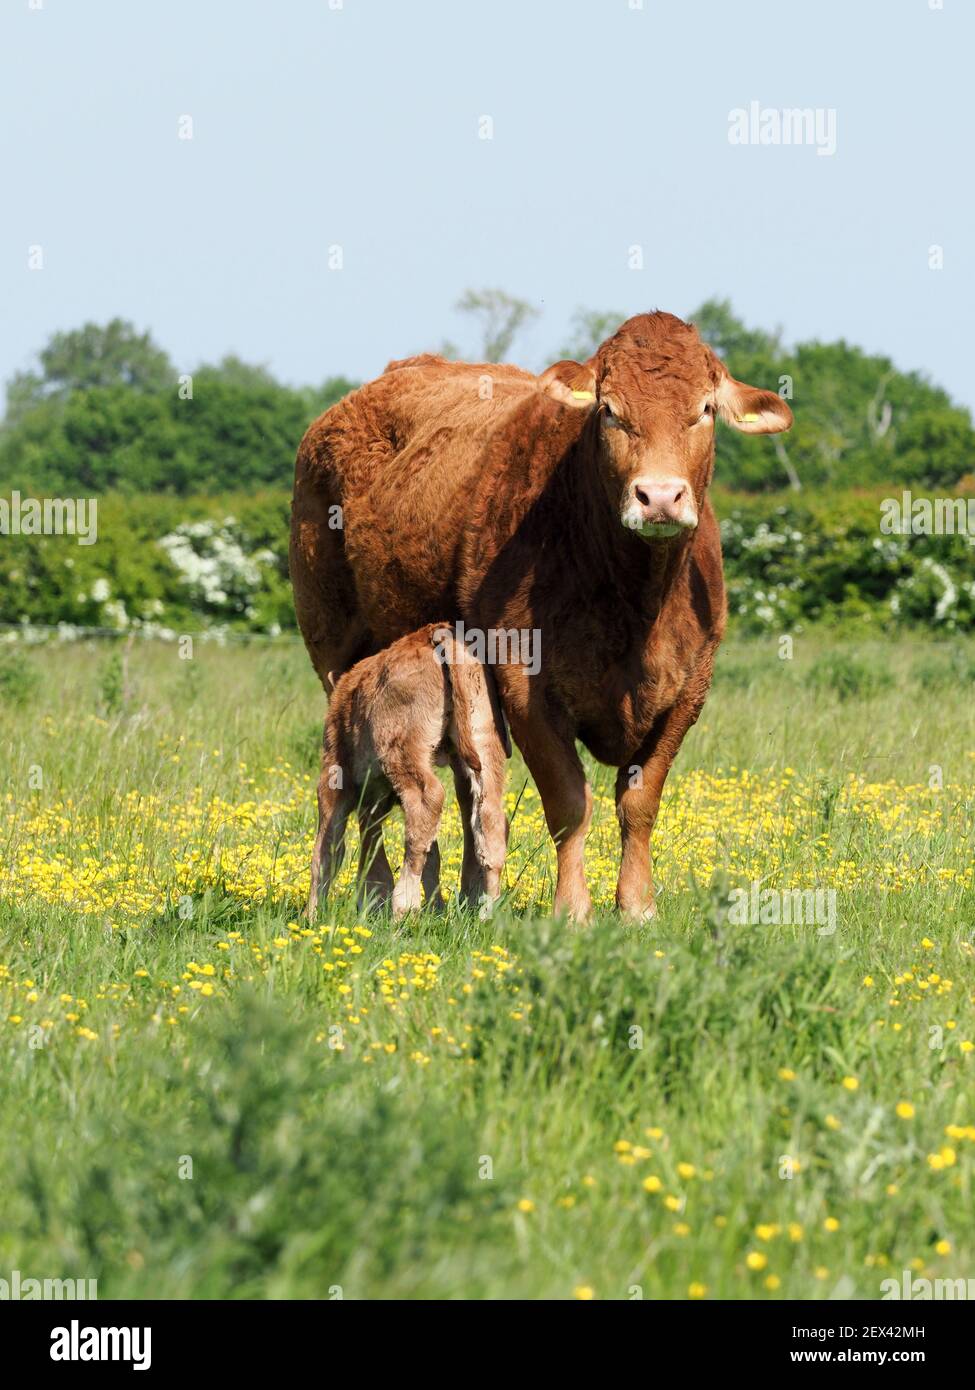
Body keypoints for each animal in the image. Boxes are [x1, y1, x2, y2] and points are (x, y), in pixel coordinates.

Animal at [290, 311, 792, 920]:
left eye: (704, 409)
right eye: (609, 410)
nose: (659, 497)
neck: (635, 604)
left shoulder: (689, 688)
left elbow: (640, 801)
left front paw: (637, 906)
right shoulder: (525, 689)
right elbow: (569, 803)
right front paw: (573, 910)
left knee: (465, 785)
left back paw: (461, 894)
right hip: (337, 654)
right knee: (367, 793)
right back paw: (383, 890)